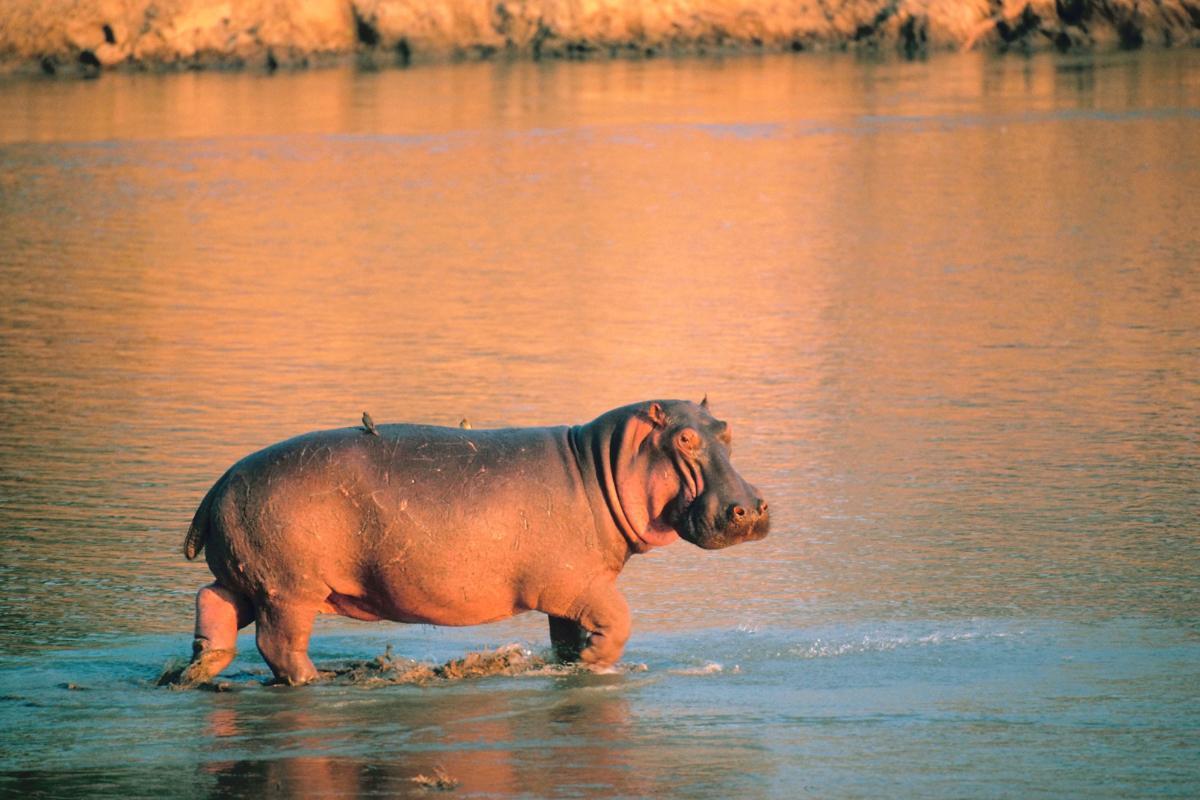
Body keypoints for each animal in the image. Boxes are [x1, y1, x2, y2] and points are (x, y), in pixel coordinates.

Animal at [177, 399, 769, 685]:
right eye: (685, 439)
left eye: (727, 429)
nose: (753, 507)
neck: (603, 462)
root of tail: (218, 484)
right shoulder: (578, 582)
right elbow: (620, 620)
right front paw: (597, 660)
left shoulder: (572, 593)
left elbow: (565, 638)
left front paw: (575, 662)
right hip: (289, 590)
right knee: (278, 644)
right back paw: (313, 680)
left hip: (249, 578)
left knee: (213, 605)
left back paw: (198, 669)